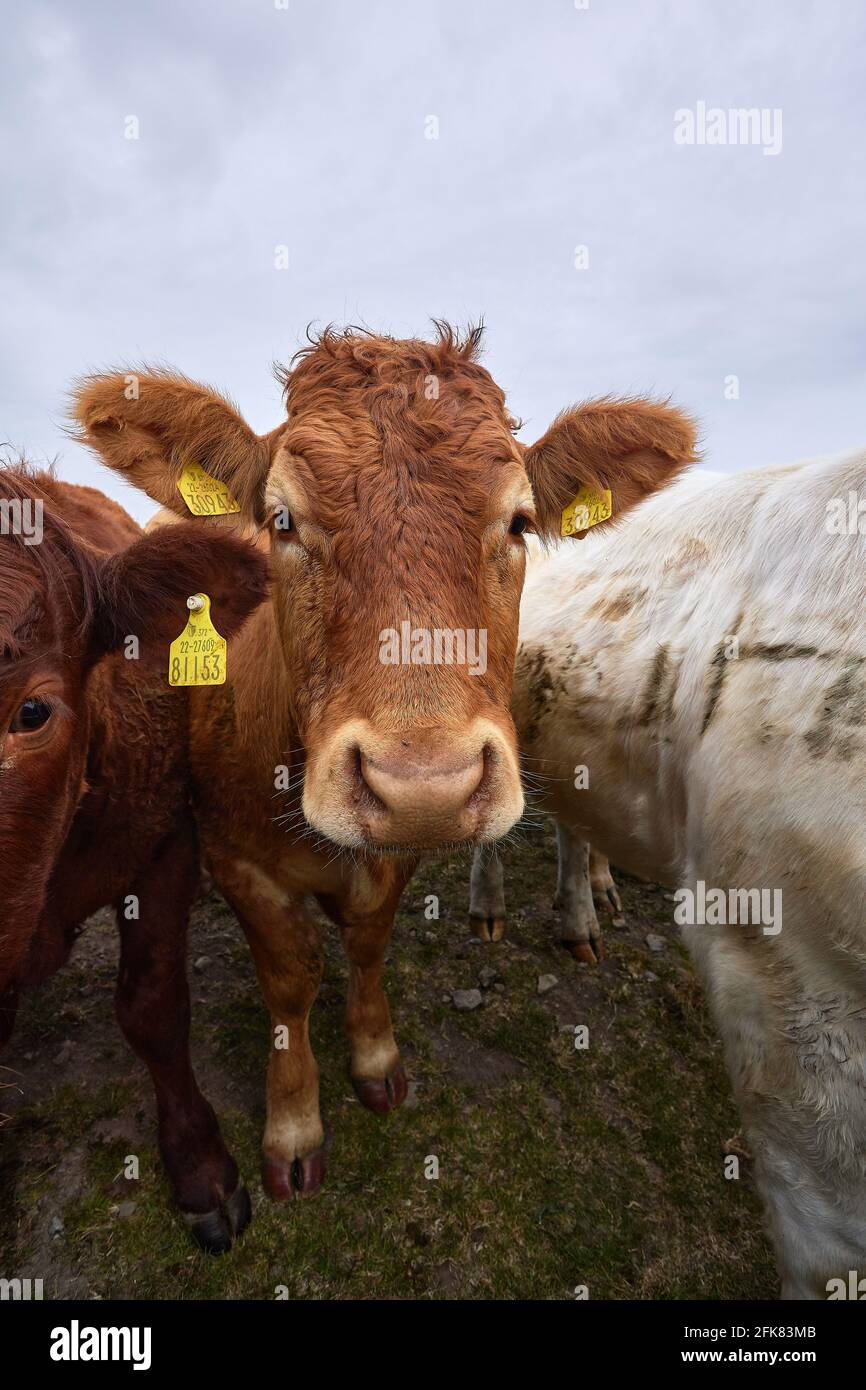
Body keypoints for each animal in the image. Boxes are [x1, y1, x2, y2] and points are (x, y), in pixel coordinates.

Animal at [70, 323, 698, 1202]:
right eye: (282, 518)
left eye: (518, 522)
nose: (422, 785)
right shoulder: (238, 859)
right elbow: (290, 979)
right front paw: (294, 1123)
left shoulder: (395, 860)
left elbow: (367, 944)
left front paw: (374, 1057)